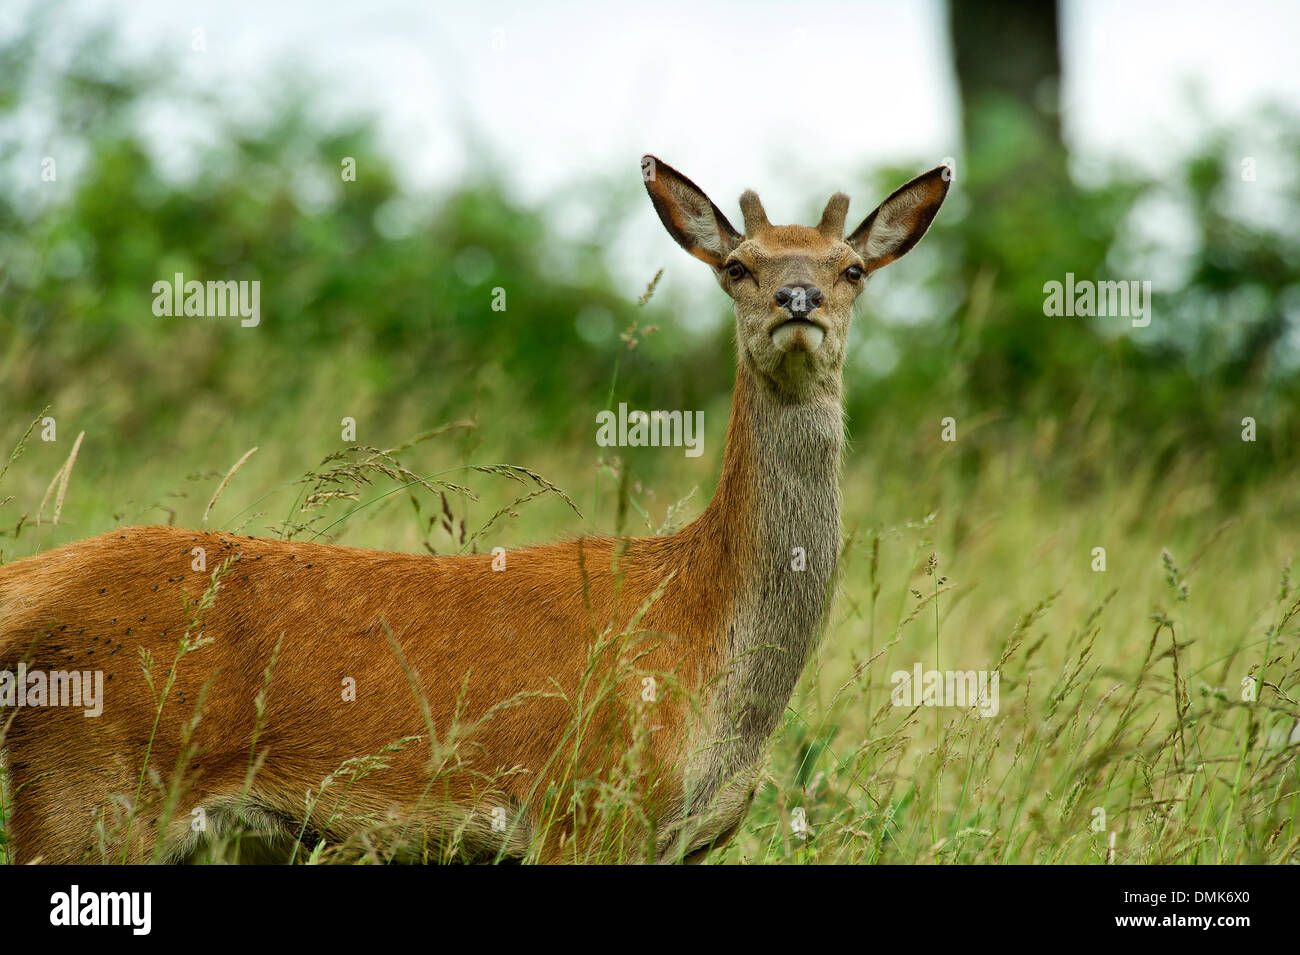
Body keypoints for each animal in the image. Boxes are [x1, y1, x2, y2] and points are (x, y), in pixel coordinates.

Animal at [0, 155, 948, 865]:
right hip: (81, 792)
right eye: (738, 265)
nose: (799, 301)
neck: (703, 627)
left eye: (852, 269)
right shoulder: (582, 806)